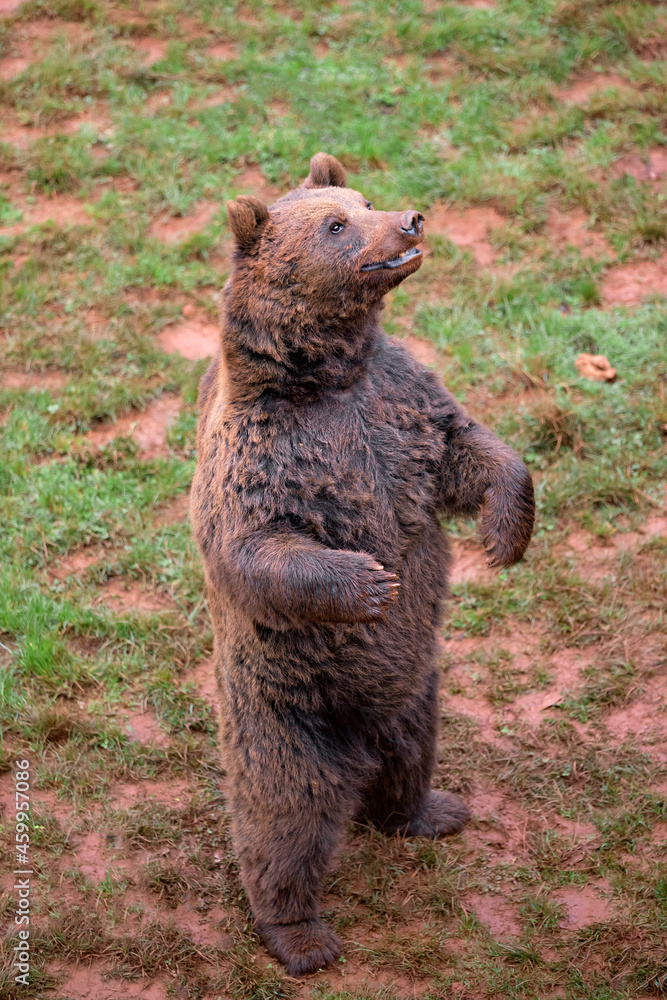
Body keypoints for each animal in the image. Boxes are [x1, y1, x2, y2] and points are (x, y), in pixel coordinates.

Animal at [190, 152, 535, 976]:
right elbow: (257, 546)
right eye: (335, 225)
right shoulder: (268, 454)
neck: (329, 376)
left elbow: (470, 448)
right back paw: (299, 935)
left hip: (416, 691)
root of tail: (360, 743)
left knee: (411, 757)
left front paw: (504, 533)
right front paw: (371, 583)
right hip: (286, 715)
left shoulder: (401, 403)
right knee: (284, 819)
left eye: (363, 198)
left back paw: (431, 810)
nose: (408, 221)